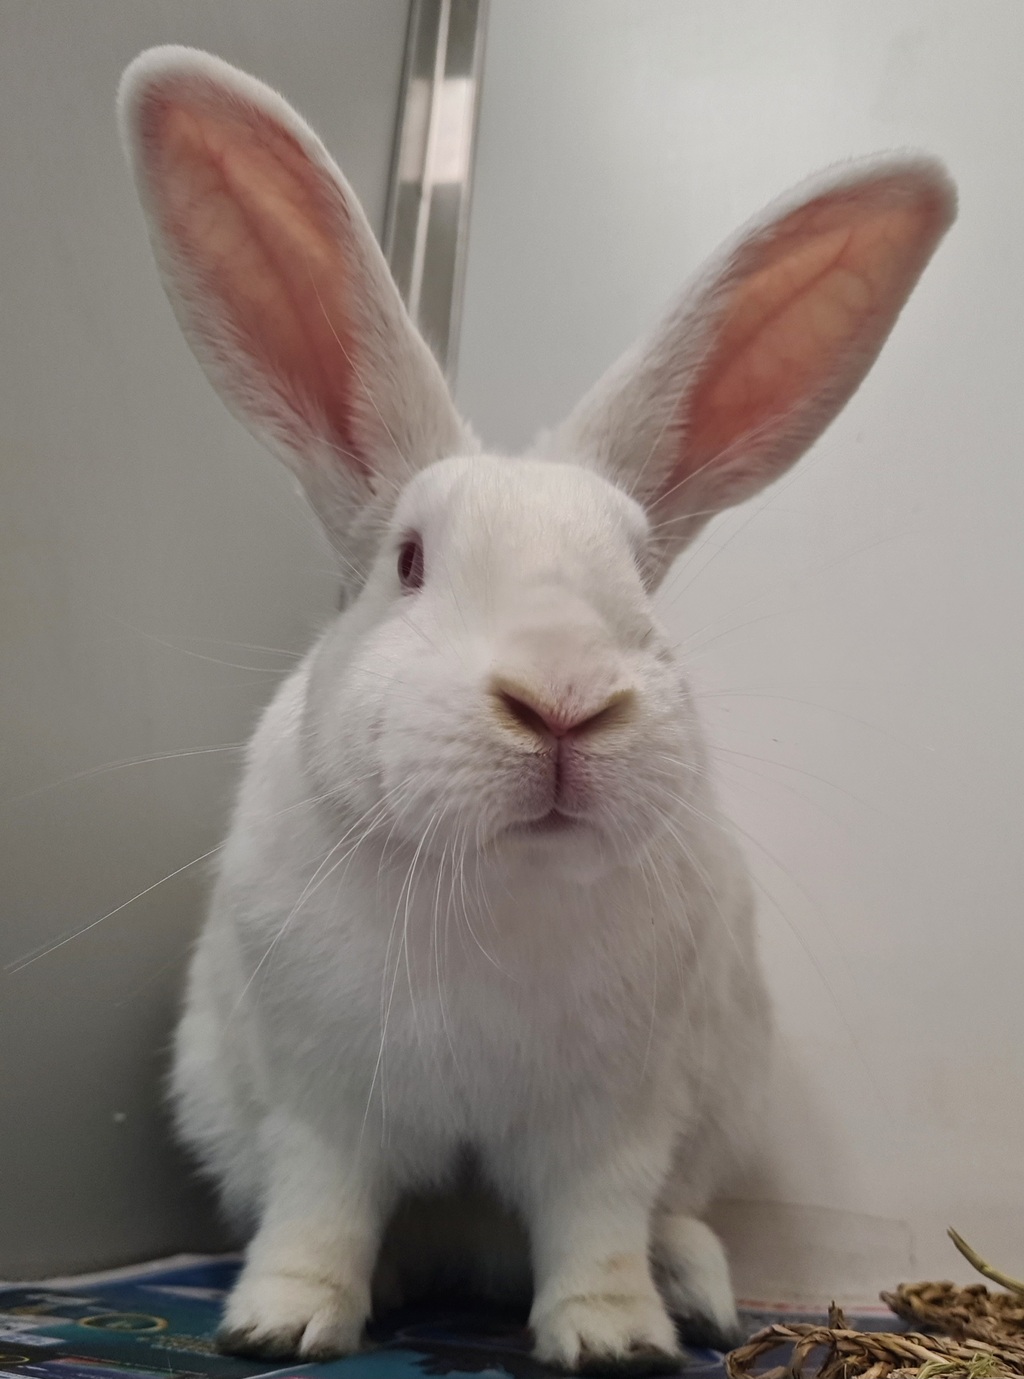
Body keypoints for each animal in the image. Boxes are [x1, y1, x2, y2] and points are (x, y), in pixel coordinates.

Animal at [118, 45, 956, 1376]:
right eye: (409, 561)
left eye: (639, 576)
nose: (562, 700)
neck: (498, 878)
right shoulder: (321, 1099)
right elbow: (319, 1206)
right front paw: (279, 1320)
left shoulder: (613, 1118)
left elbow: (596, 1222)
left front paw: (614, 1336)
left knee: (667, 1218)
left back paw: (697, 1292)